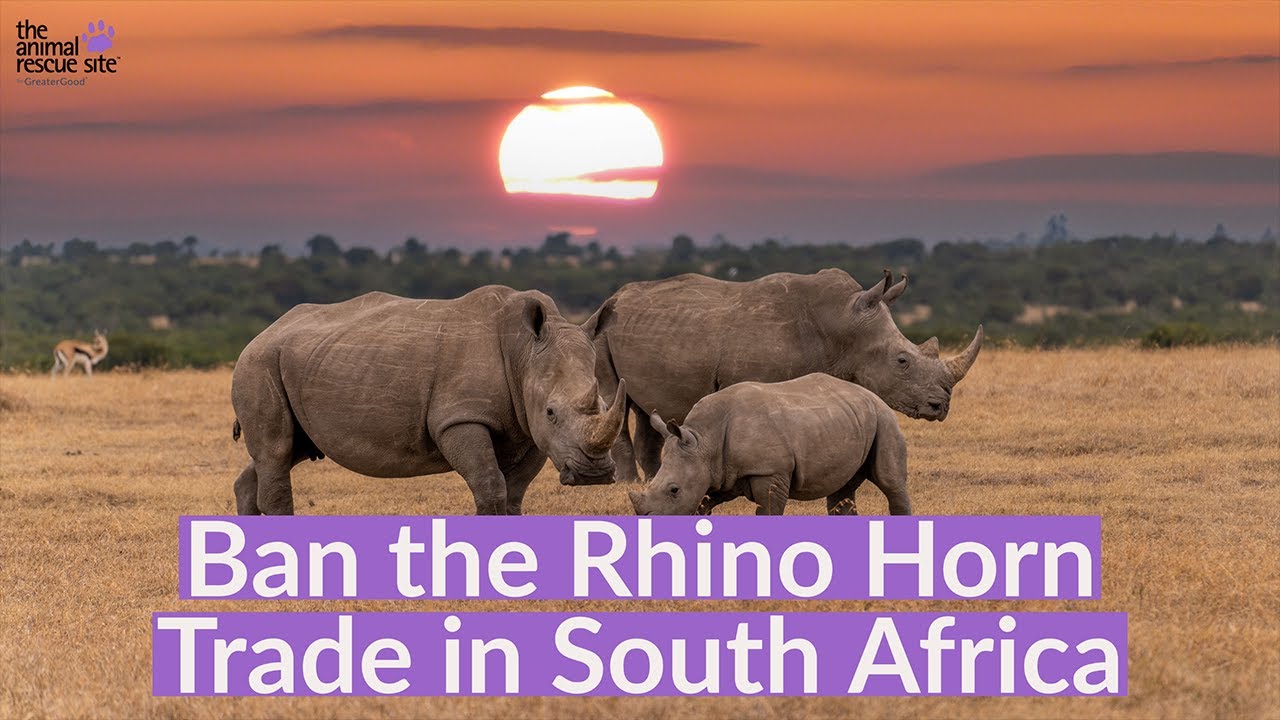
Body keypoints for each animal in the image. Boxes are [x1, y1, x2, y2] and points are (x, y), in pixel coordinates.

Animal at [230, 288, 626, 515]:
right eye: (551, 412)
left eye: (605, 402)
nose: (594, 475)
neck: (524, 353)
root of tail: (263, 332)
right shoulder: (460, 417)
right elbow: (490, 485)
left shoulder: (529, 428)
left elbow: (514, 494)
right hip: (258, 362)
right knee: (277, 450)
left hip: (294, 361)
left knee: (284, 452)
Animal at [586, 268, 982, 482]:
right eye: (902, 361)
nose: (940, 407)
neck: (843, 326)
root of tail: (613, 296)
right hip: (601, 330)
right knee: (616, 397)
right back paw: (626, 483)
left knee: (644, 405)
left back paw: (654, 478)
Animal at [628, 373, 910, 516]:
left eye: (674, 490)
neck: (704, 440)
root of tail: (871, 393)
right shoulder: (720, 472)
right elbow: (702, 506)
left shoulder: (770, 471)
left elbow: (768, 510)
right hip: (849, 419)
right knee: (843, 489)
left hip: (884, 418)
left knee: (890, 482)